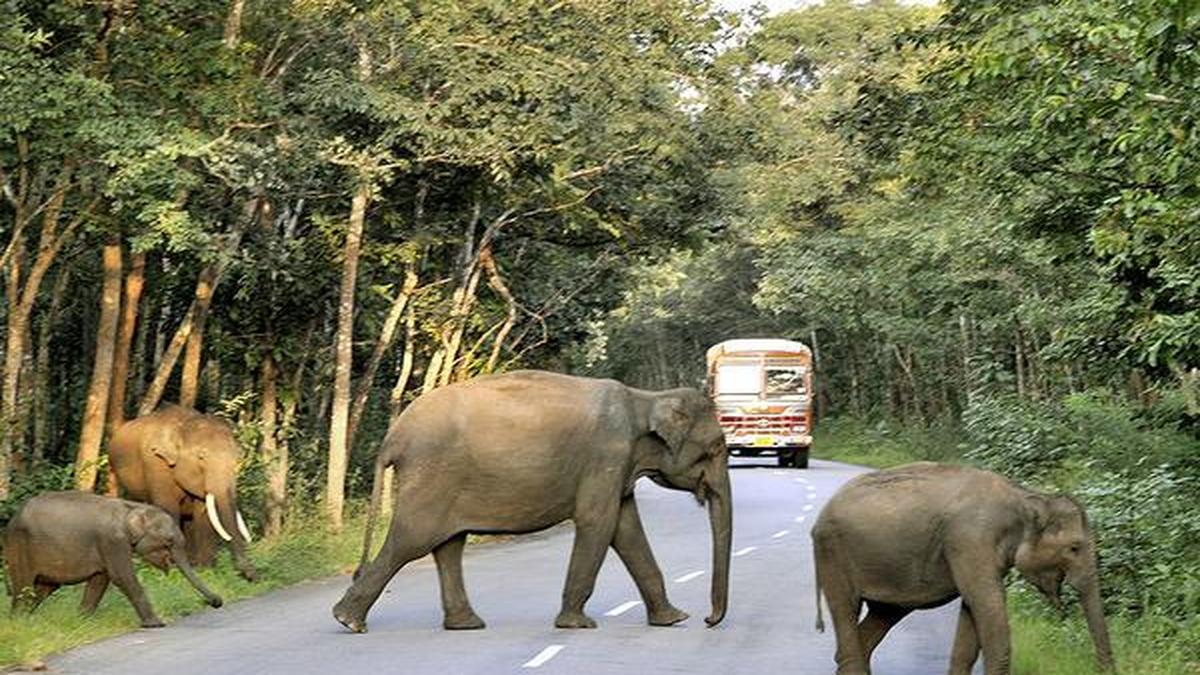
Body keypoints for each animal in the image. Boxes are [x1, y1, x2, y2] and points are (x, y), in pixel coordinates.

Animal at [5, 491, 223, 627]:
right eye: (168, 541)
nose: (217, 602)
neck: (132, 507)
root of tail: (11, 521)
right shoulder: (112, 541)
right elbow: (122, 577)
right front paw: (157, 624)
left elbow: (100, 580)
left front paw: (82, 620)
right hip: (19, 548)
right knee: (23, 587)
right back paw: (18, 622)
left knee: (43, 588)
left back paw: (26, 620)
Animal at [108, 405, 257, 581]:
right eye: (201, 457)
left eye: (238, 458)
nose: (253, 576)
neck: (184, 426)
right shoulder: (156, 463)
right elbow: (169, 510)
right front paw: (173, 571)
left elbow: (202, 514)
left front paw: (205, 570)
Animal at [332, 370, 732, 633]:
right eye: (715, 449)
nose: (707, 620)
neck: (646, 397)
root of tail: (393, 437)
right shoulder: (606, 456)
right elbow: (598, 524)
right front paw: (577, 625)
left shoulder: (617, 470)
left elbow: (626, 529)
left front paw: (673, 619)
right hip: (431, 476)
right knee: (412, 541)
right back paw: (348, 621)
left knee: (448, 545)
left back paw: (466, 625)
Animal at [811, 462, 1115, 675]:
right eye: (1074, 548)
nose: (1103, 669)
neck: (1023, 496)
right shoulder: (969, 540)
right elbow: (987, 606)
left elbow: (972, 615)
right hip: (833, 554)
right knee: (846, 609)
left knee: (881, 616)